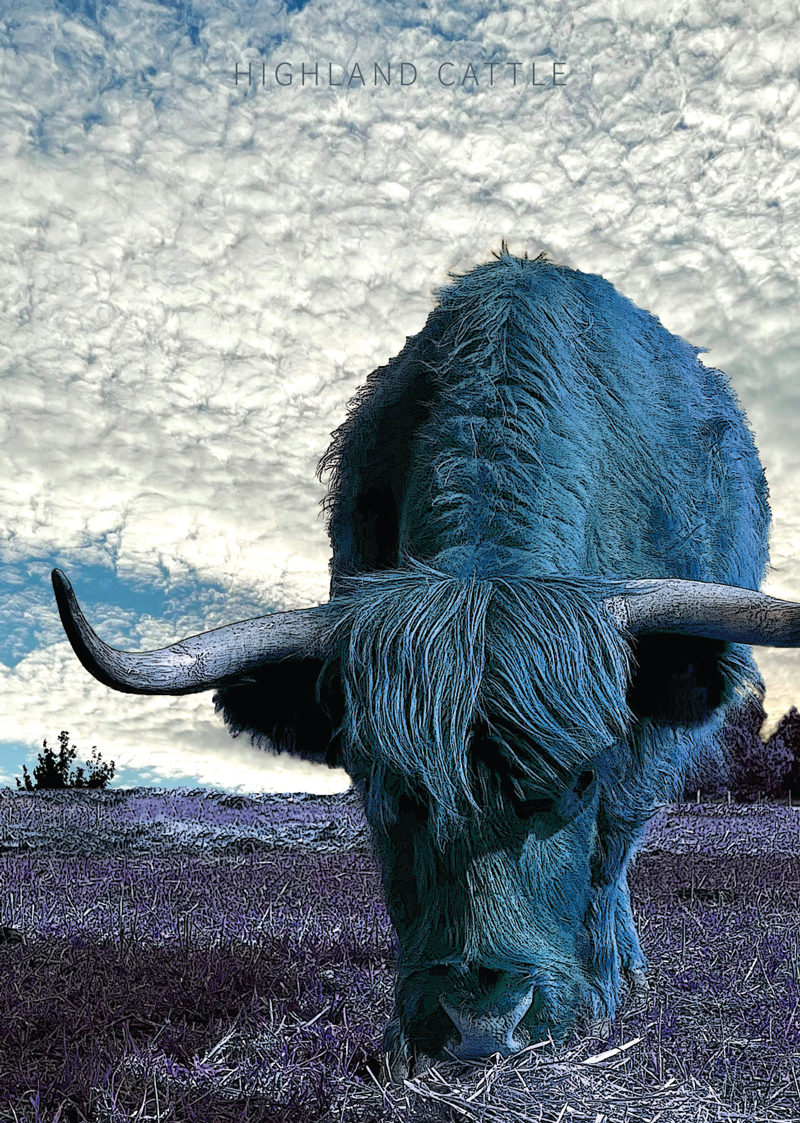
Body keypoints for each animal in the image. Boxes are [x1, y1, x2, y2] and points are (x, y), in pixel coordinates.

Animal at [52, 248, 800, 1080]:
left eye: (576, 779)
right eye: (388, 788)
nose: (480, 1023)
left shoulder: (642, 744)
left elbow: (610, 847)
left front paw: (605, 988)